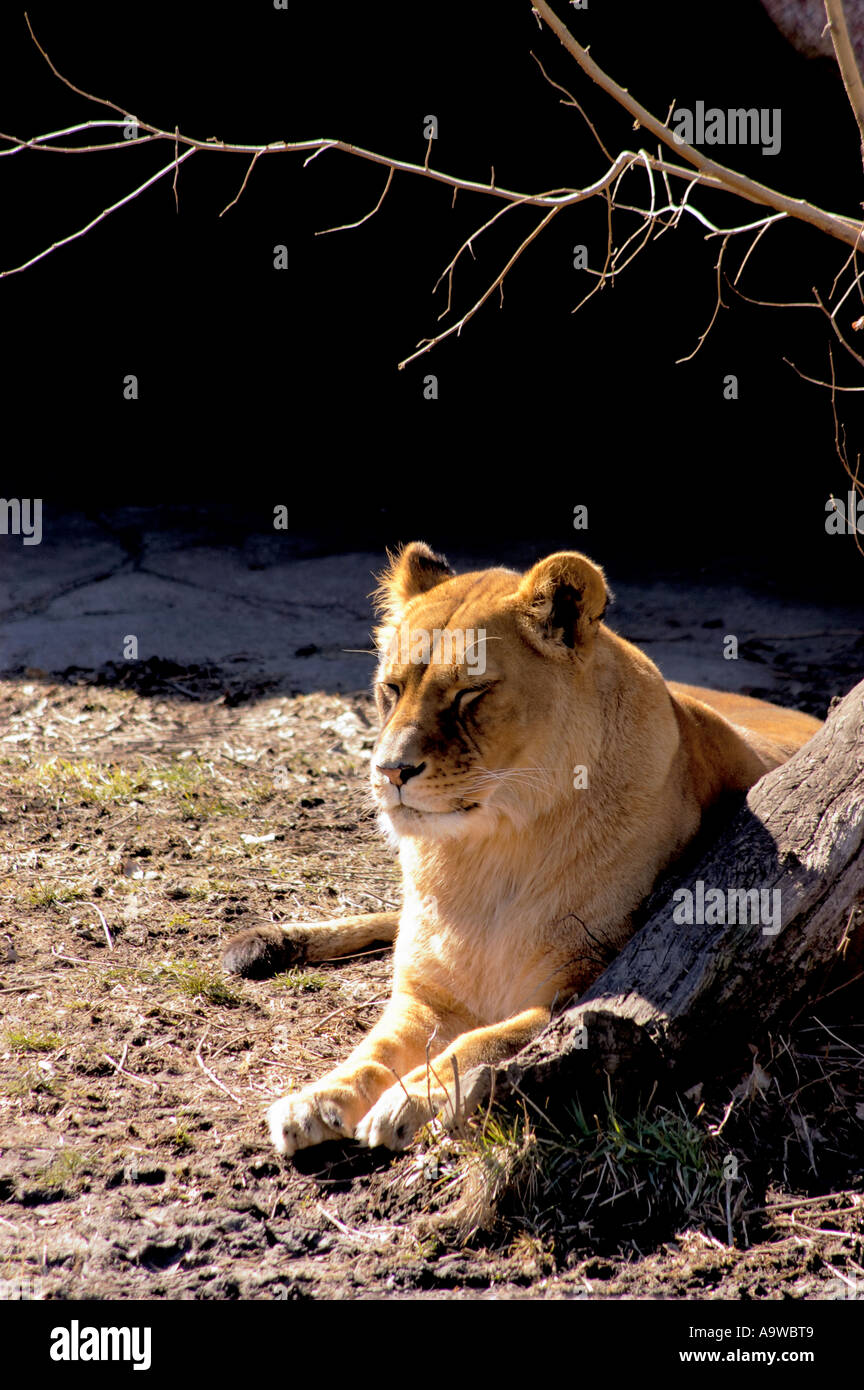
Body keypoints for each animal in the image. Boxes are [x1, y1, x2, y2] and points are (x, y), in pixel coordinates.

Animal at [222, 543, 822, 1157]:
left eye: (469, 694)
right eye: (391, 689)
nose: (388, 770)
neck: (488, 849)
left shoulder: (583, 989)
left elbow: (481, 1044)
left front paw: (407, 1101)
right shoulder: (426, 996)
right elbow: (374, 1052)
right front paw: (318, 1098)